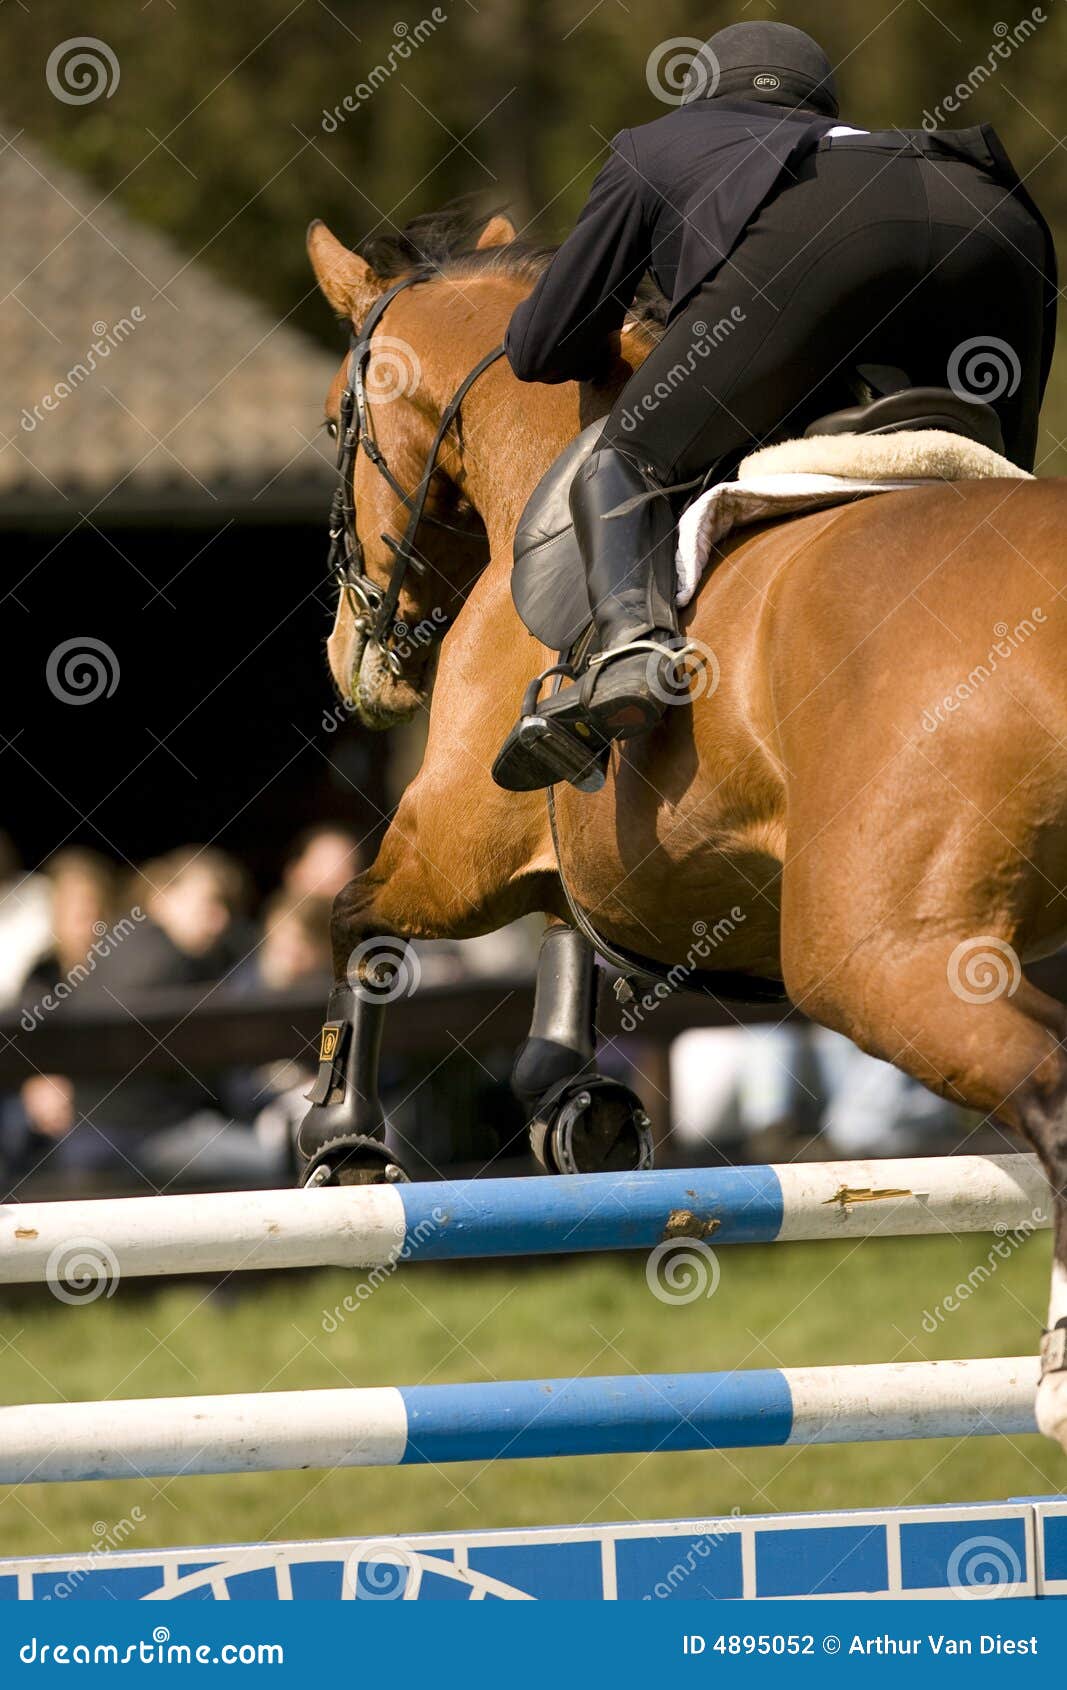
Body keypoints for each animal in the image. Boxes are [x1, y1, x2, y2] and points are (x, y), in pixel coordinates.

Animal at [302, 205, 1067, 1456]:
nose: (351, 661)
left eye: (336, 419)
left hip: (871, 955)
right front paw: (579, 1108)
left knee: (1045, 1087)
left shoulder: (453, 853)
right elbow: (569, 934)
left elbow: (354, 922)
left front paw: (344, 1138)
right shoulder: (638, 876)